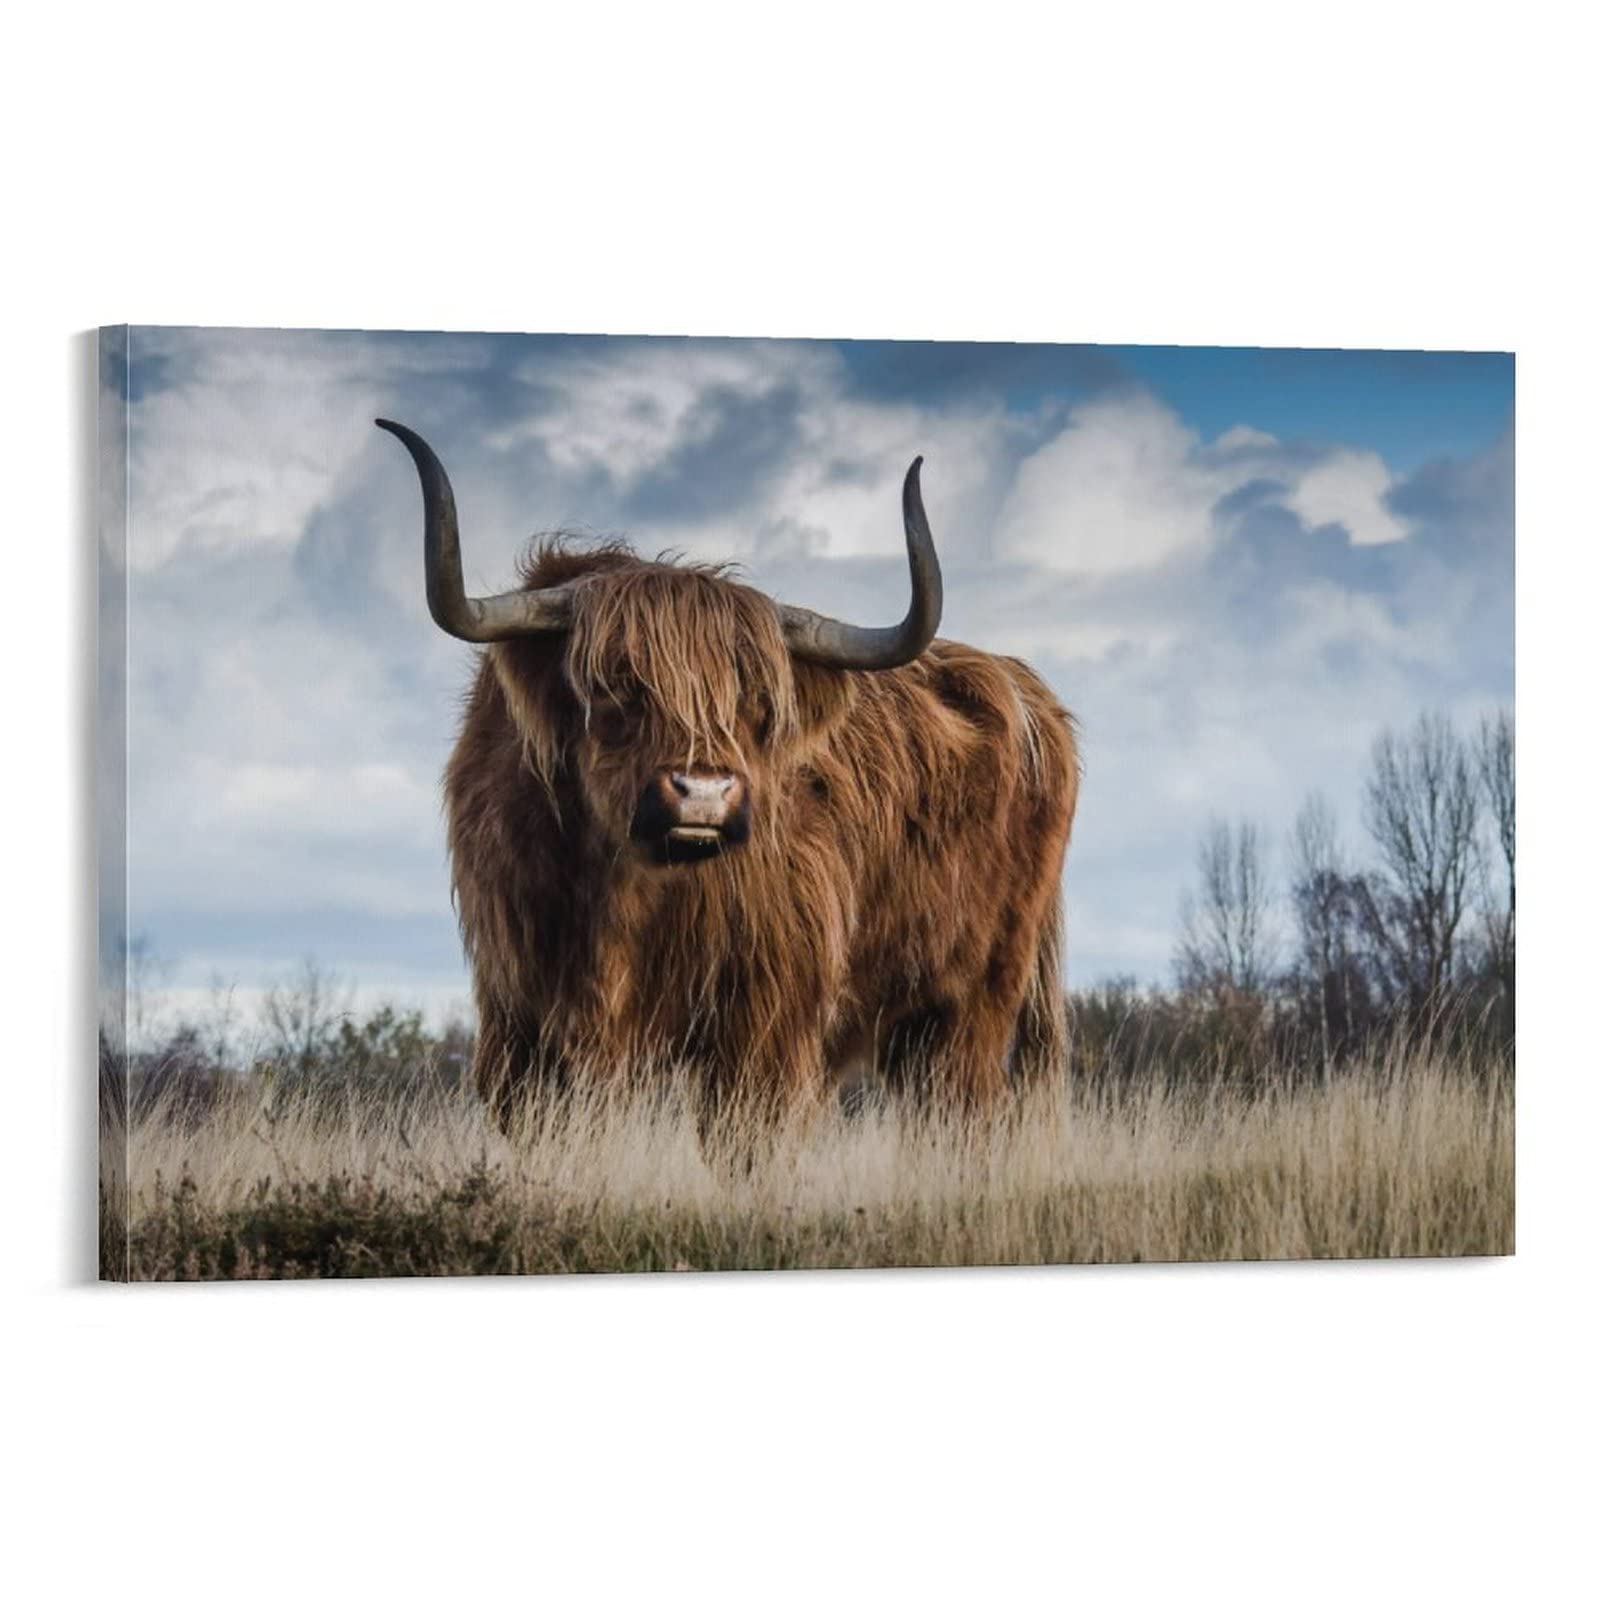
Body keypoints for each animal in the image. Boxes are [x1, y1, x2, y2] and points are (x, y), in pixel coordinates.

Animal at [377, 418, 1080, 1132]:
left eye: (758, 702)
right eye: (614, 685)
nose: (704, 794)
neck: (620, 896)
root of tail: (1024, 687)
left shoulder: (764, 1024)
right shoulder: (519, 1021)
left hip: (972, 1005)